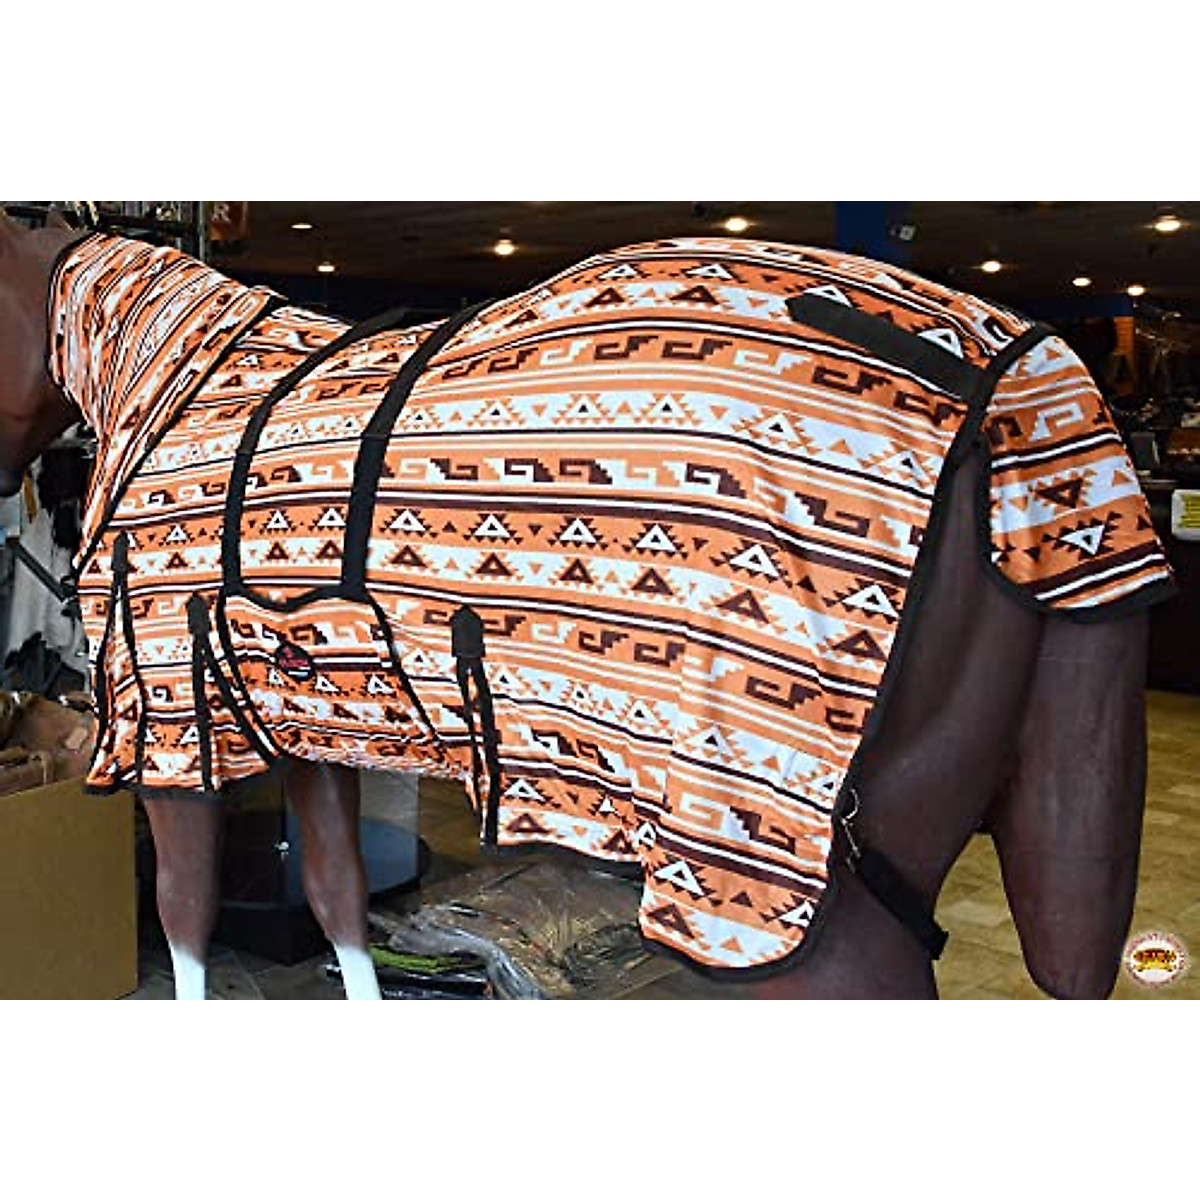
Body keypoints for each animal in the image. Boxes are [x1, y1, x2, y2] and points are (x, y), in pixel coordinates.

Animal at [0, 208, 1171, 1000]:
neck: (175, 383)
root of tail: (1014, 373)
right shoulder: (315, 732)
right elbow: (337, 904)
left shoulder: (170, 740)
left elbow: (186, 926)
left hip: (788, 902)